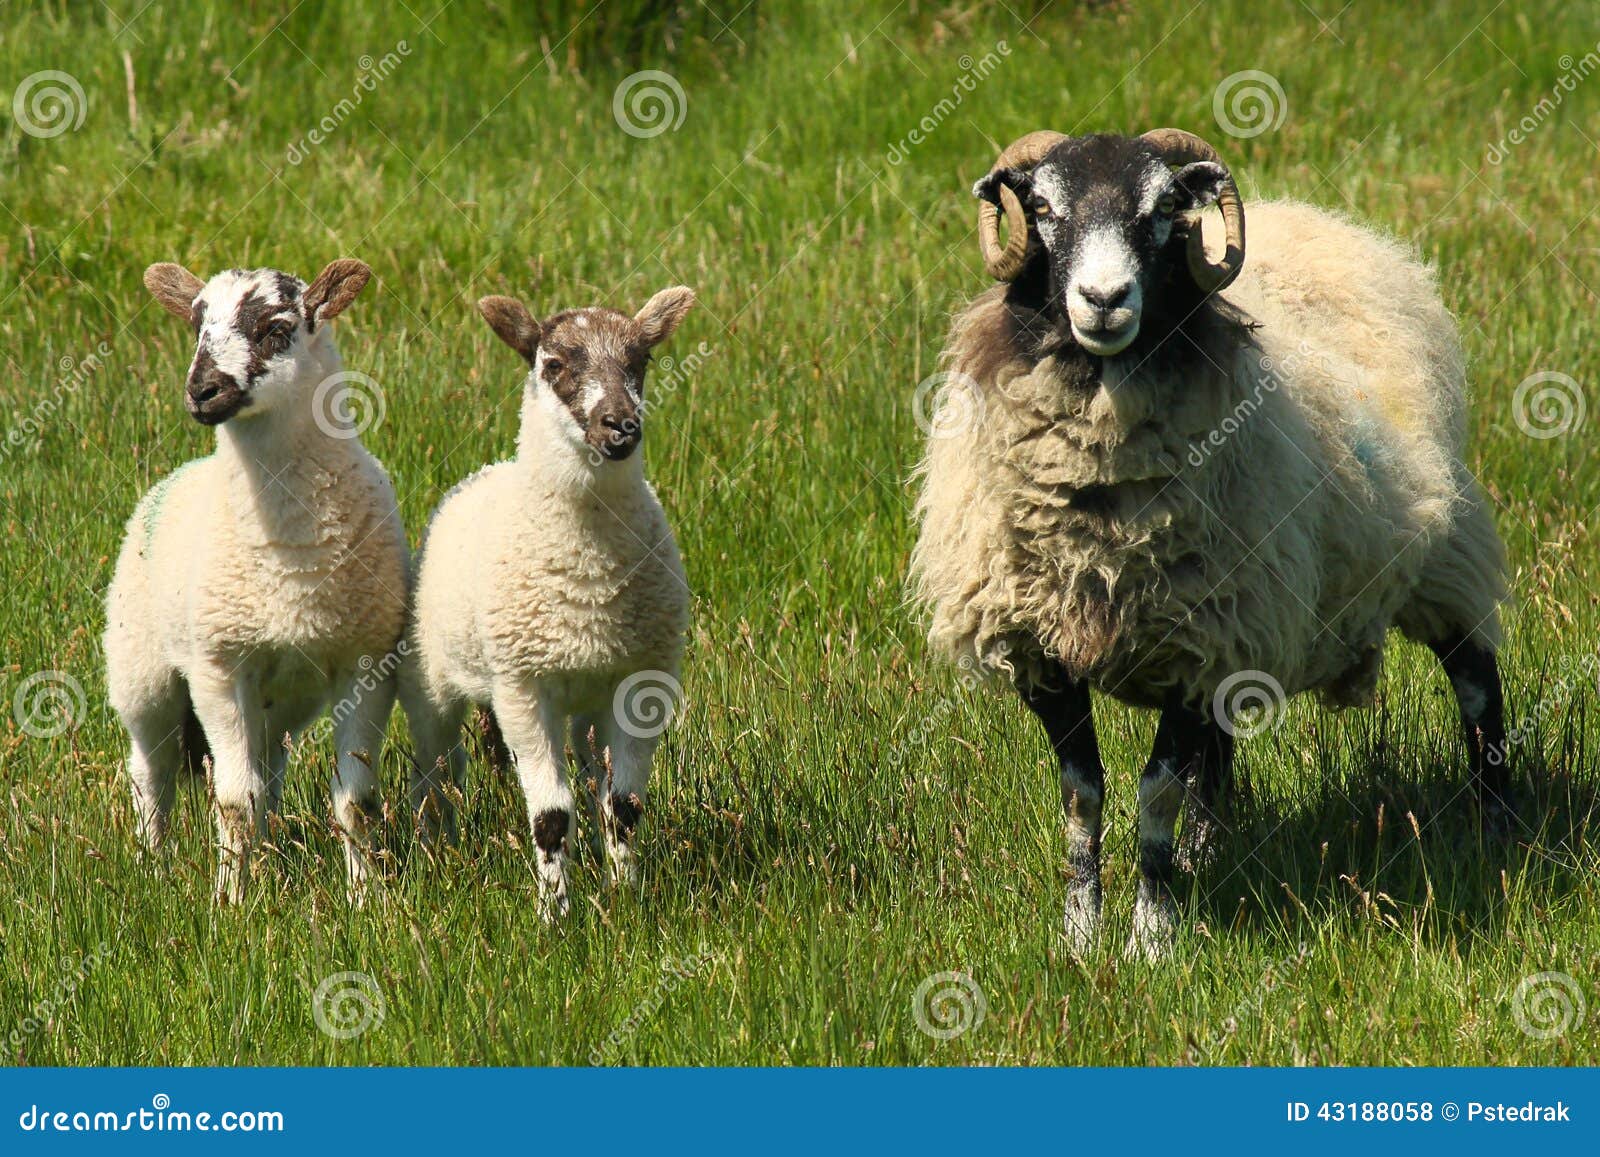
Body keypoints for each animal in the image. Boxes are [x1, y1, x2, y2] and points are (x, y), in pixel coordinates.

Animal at [104, 260, 409, 904]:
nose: (202, 391)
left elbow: (356, 804)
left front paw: (367, 899)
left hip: (278, 703)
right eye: (195, 327)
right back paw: (151, 864)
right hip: (140, 668)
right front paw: (231, 902)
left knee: (266, 776)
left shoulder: (367, 662)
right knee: (151, 771)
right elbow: (232, 803)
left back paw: (268, 862)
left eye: (276, 329)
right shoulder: (219, 668)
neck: (289, 552)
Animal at [400, 285, 695, 921]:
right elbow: (551, 814)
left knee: (590, 781)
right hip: (432, 680)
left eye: (641, 359)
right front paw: (555, 913)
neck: (589, 576)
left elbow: (624, 805)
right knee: (434, 775)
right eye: (554, 364)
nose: (620, 426)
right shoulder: (522, 687)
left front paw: (625, 901)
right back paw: (437, 851)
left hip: (586, 700)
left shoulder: (642, 682)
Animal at [910, 128, 1510, 957]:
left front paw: (1151, 938)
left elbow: (1158, 788)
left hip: (1442, 554)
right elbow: (1081, 794)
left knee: (1478, 684)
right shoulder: (1052, 648)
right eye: (1043, 207)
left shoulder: (1199, 637)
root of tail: (1324, 221)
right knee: (1219, 753)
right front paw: (1081, 935)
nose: (1104, 300)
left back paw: (1497, 832)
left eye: (1165, 208)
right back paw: (1206, 849)